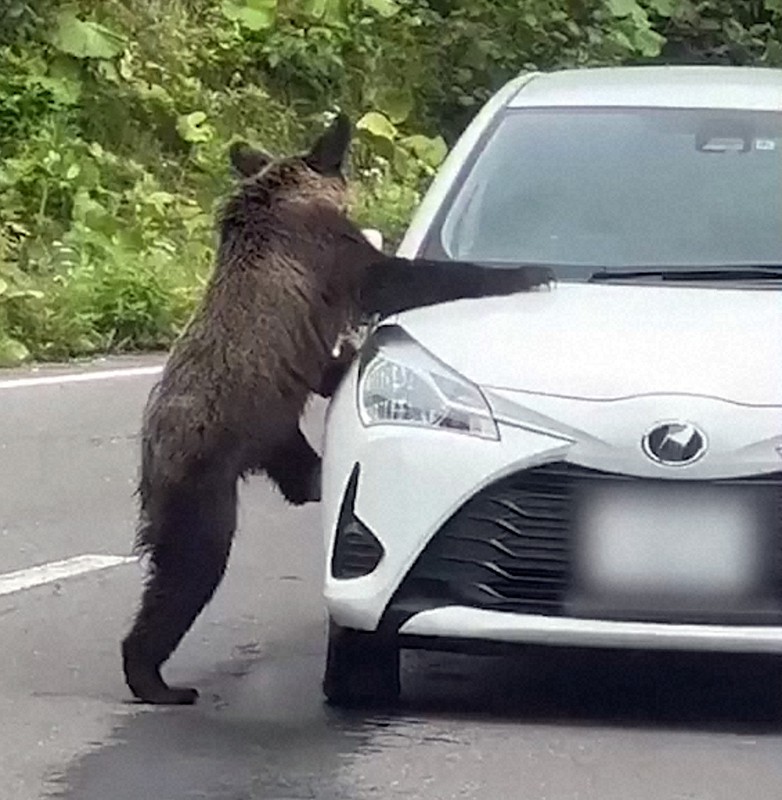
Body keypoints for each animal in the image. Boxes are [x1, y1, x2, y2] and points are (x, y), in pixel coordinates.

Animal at [121, 112, 554, 705]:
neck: (281, 200)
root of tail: (147, 450)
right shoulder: (326, 250)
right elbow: (392, 277)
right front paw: (527, 272)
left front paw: (344, 356)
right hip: (205, 468)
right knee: (190, 566)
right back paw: (155, 677)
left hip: (274, 431)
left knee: (296, 479)